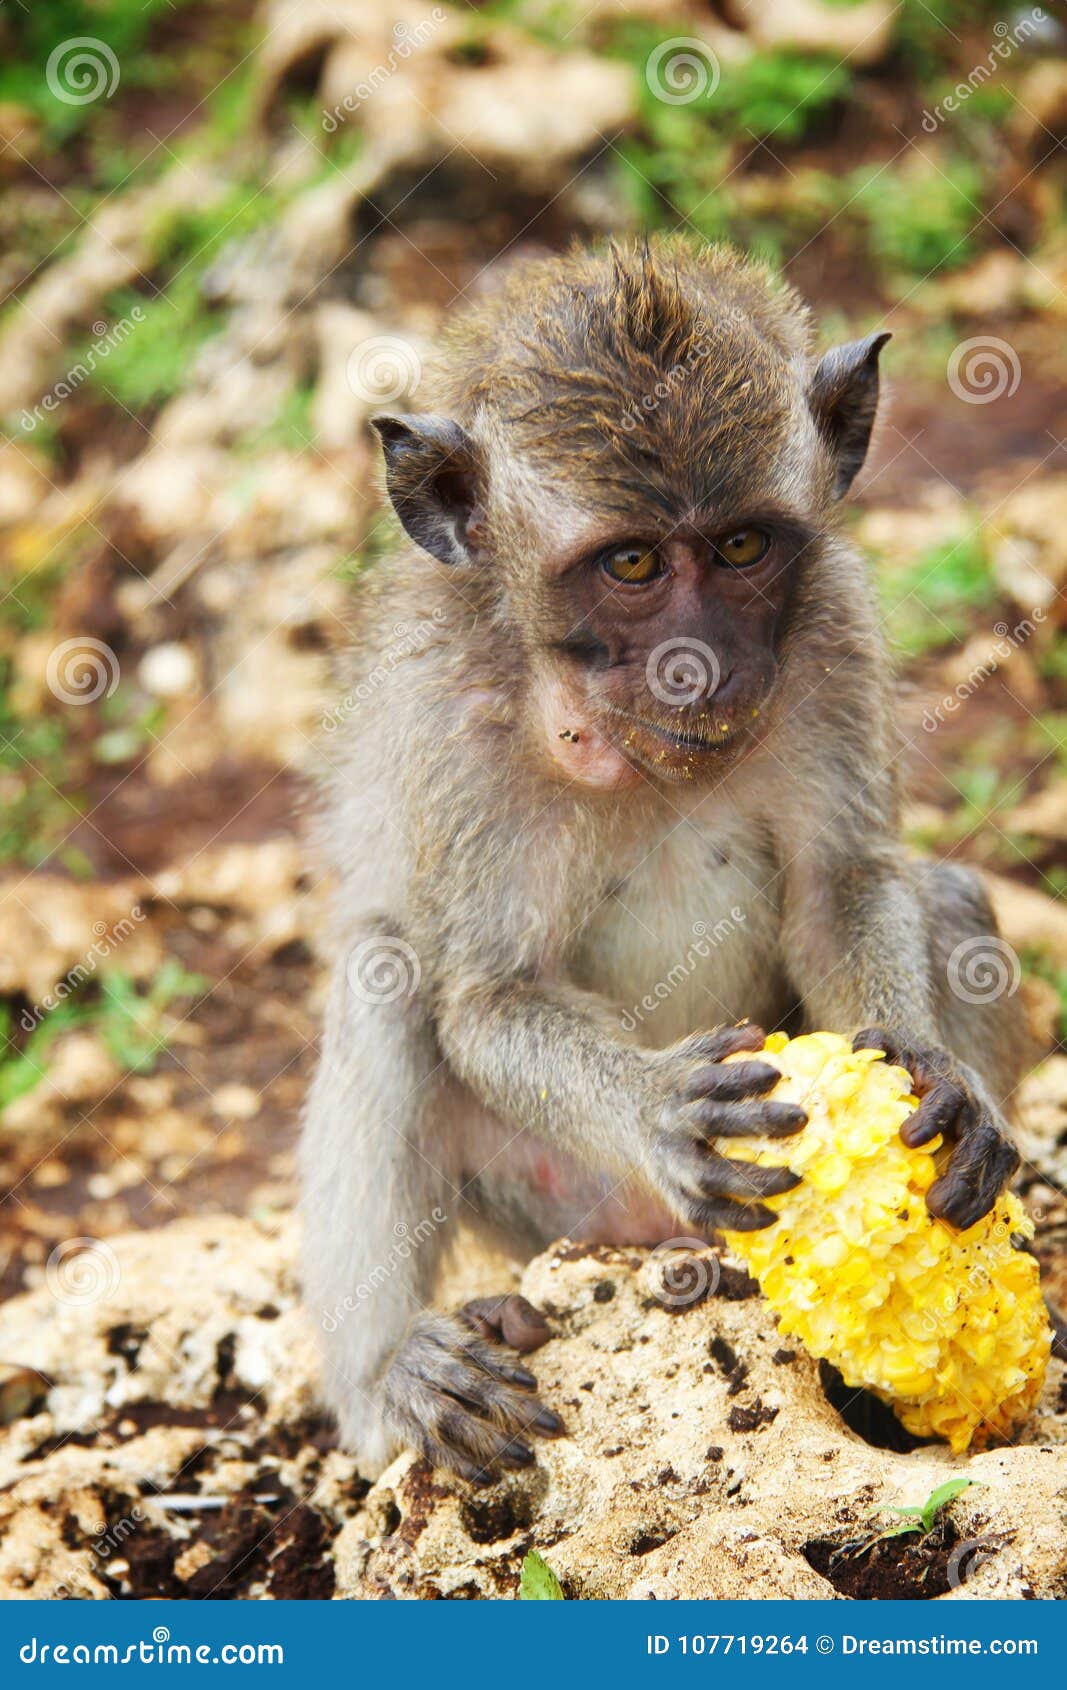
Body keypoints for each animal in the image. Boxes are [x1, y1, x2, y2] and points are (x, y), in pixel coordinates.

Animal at [300, 238, 1029, 1485]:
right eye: (631, 564)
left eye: (738, 547)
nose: (699, 664)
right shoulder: (451, 718)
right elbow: (483, 997)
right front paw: (656, 1109)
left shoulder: (828, 626)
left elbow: (845, 883)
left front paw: (937, 1078)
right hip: (550, 1200)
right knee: (386, 983)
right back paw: (389, 1377)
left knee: (944, 891)